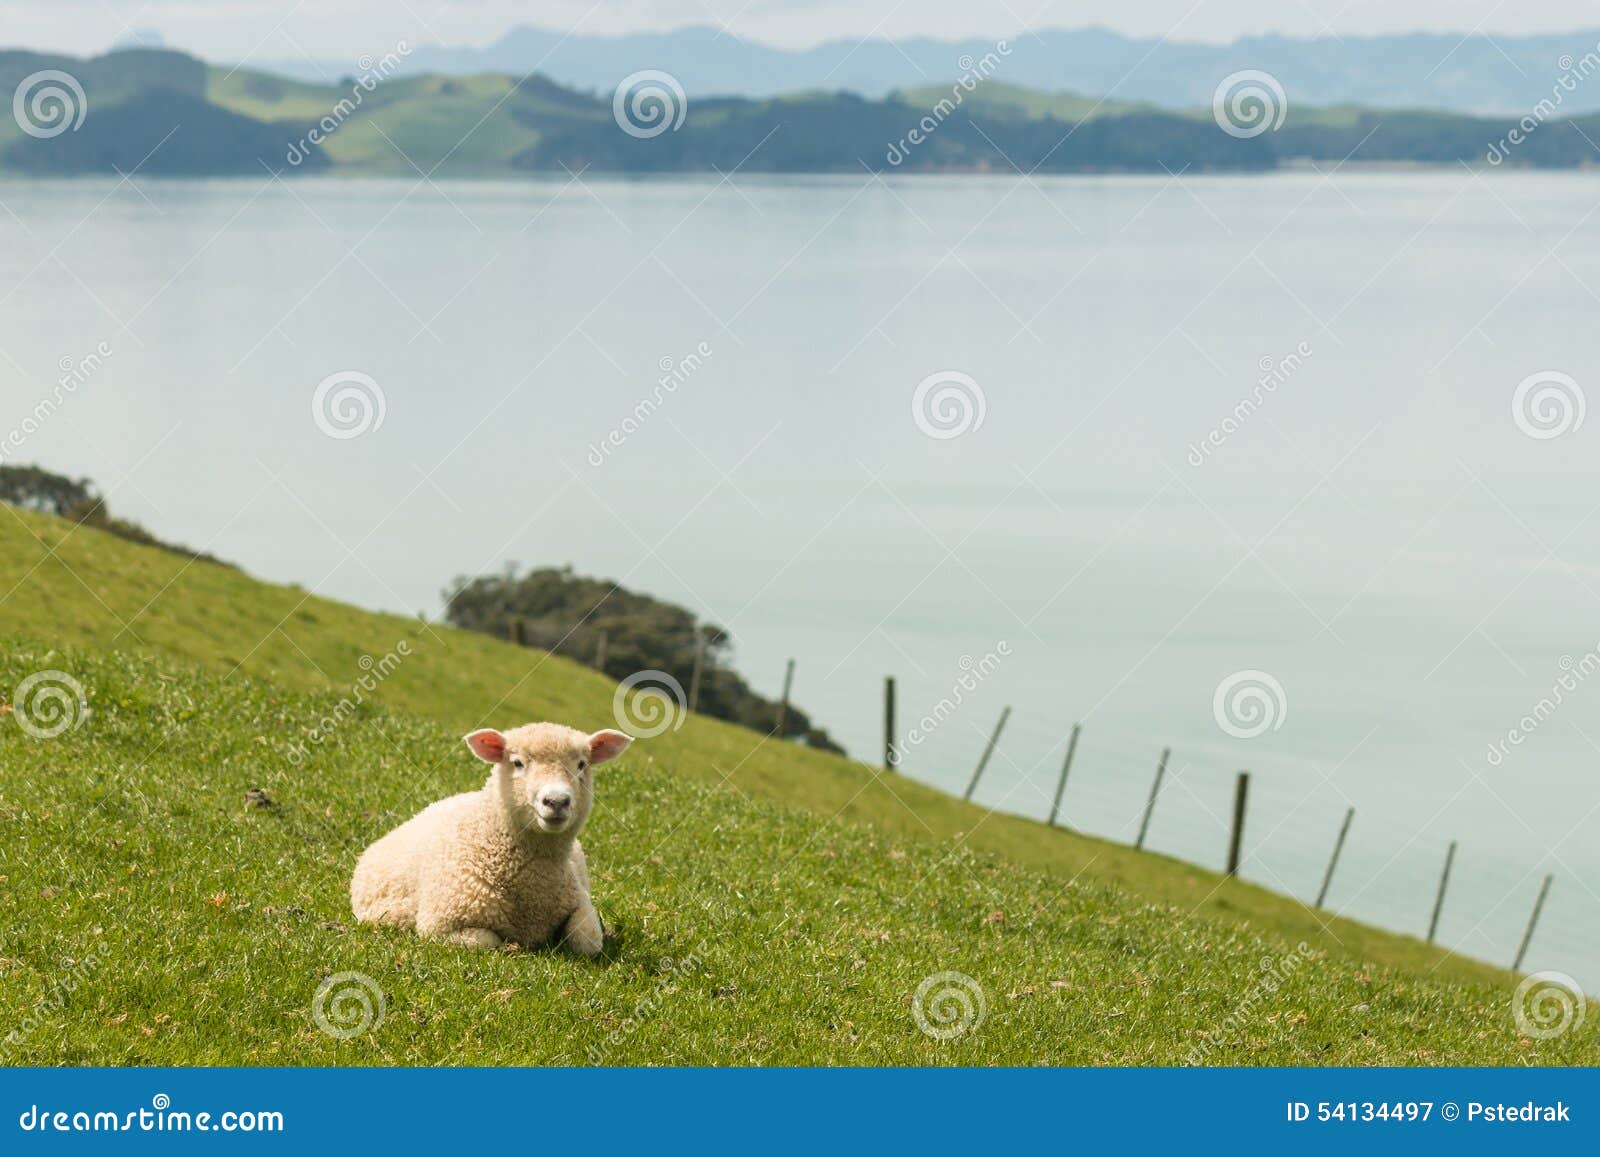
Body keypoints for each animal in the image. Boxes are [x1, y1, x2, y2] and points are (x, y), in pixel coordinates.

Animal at [350, 723, 633, 955]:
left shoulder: (580, 901)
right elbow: (489, 941)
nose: (557, 801)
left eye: (582, 765)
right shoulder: (439, 925)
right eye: (517, 763)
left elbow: (588, 942)